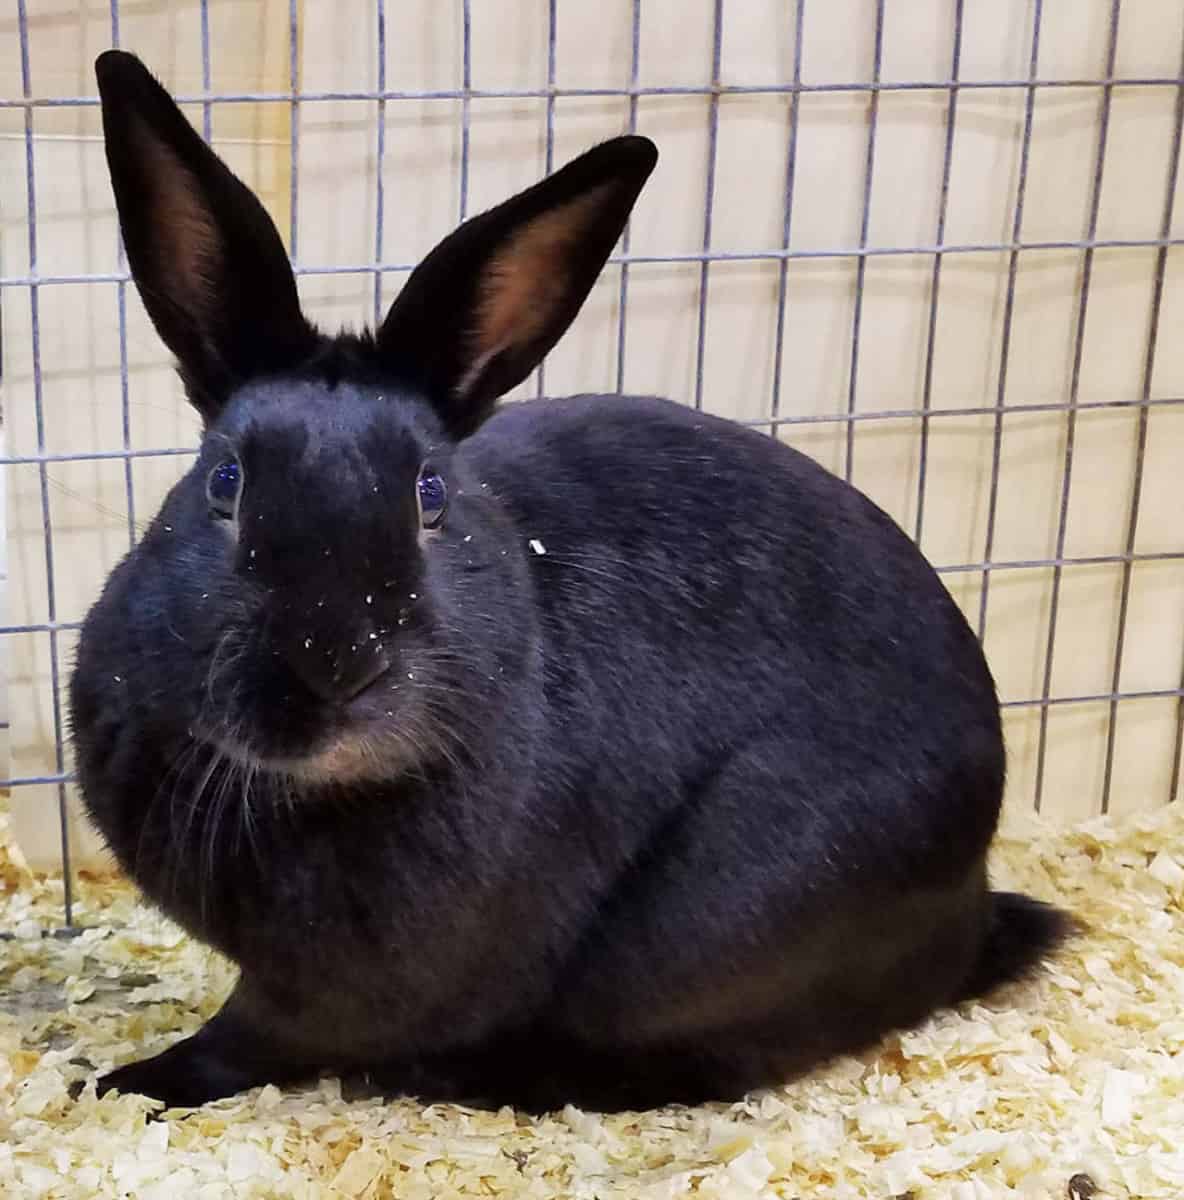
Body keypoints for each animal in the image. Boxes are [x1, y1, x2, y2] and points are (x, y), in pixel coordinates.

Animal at [69, 49, 1072, 1114]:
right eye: (226, 483)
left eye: (430, 496)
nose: (337, 667)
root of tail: (968, 919)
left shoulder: (325, 996)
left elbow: (241, 1042)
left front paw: (128, 1080)